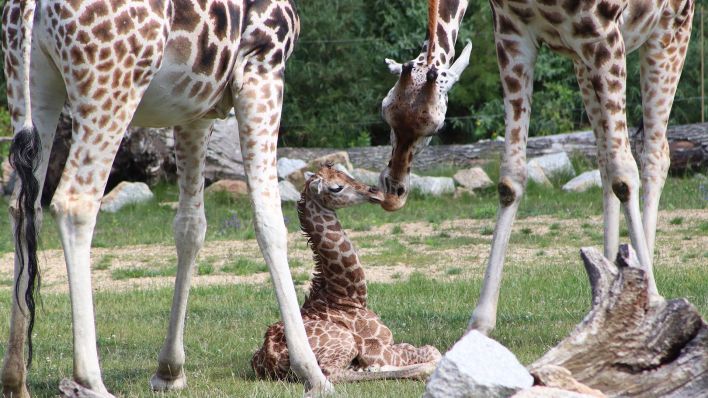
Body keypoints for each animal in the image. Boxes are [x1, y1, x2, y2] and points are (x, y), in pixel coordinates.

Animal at [1, 0, 334, 394]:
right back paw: (90, 381)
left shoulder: (196, 110)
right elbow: (270, 222)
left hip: (31, 85)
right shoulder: (262, 67)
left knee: (24, 207)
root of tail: (31, 6)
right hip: (110, 85)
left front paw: (169, 370)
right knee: (74, 203)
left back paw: (15, 380)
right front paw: (312, 372)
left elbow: (190, 227)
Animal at [253, 164, 442, 382]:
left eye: (346, 174)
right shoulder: (375, 349)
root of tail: (271, 360)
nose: (376, 192)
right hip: (344, 341)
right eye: (337, 187)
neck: (347, 297)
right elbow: (432, 350)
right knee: (332, 373)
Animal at [382, 0, 696, 332]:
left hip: (669, 32)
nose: (393, 192)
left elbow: (625, 174)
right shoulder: (513, 36)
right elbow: (511, 179)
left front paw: (653, 301)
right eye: (385, 112)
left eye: (437, 127)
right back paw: (607, 287)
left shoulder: (606, 37)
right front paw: (480, 322)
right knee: (604, 157)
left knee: (654, 153)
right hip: (583, 63)